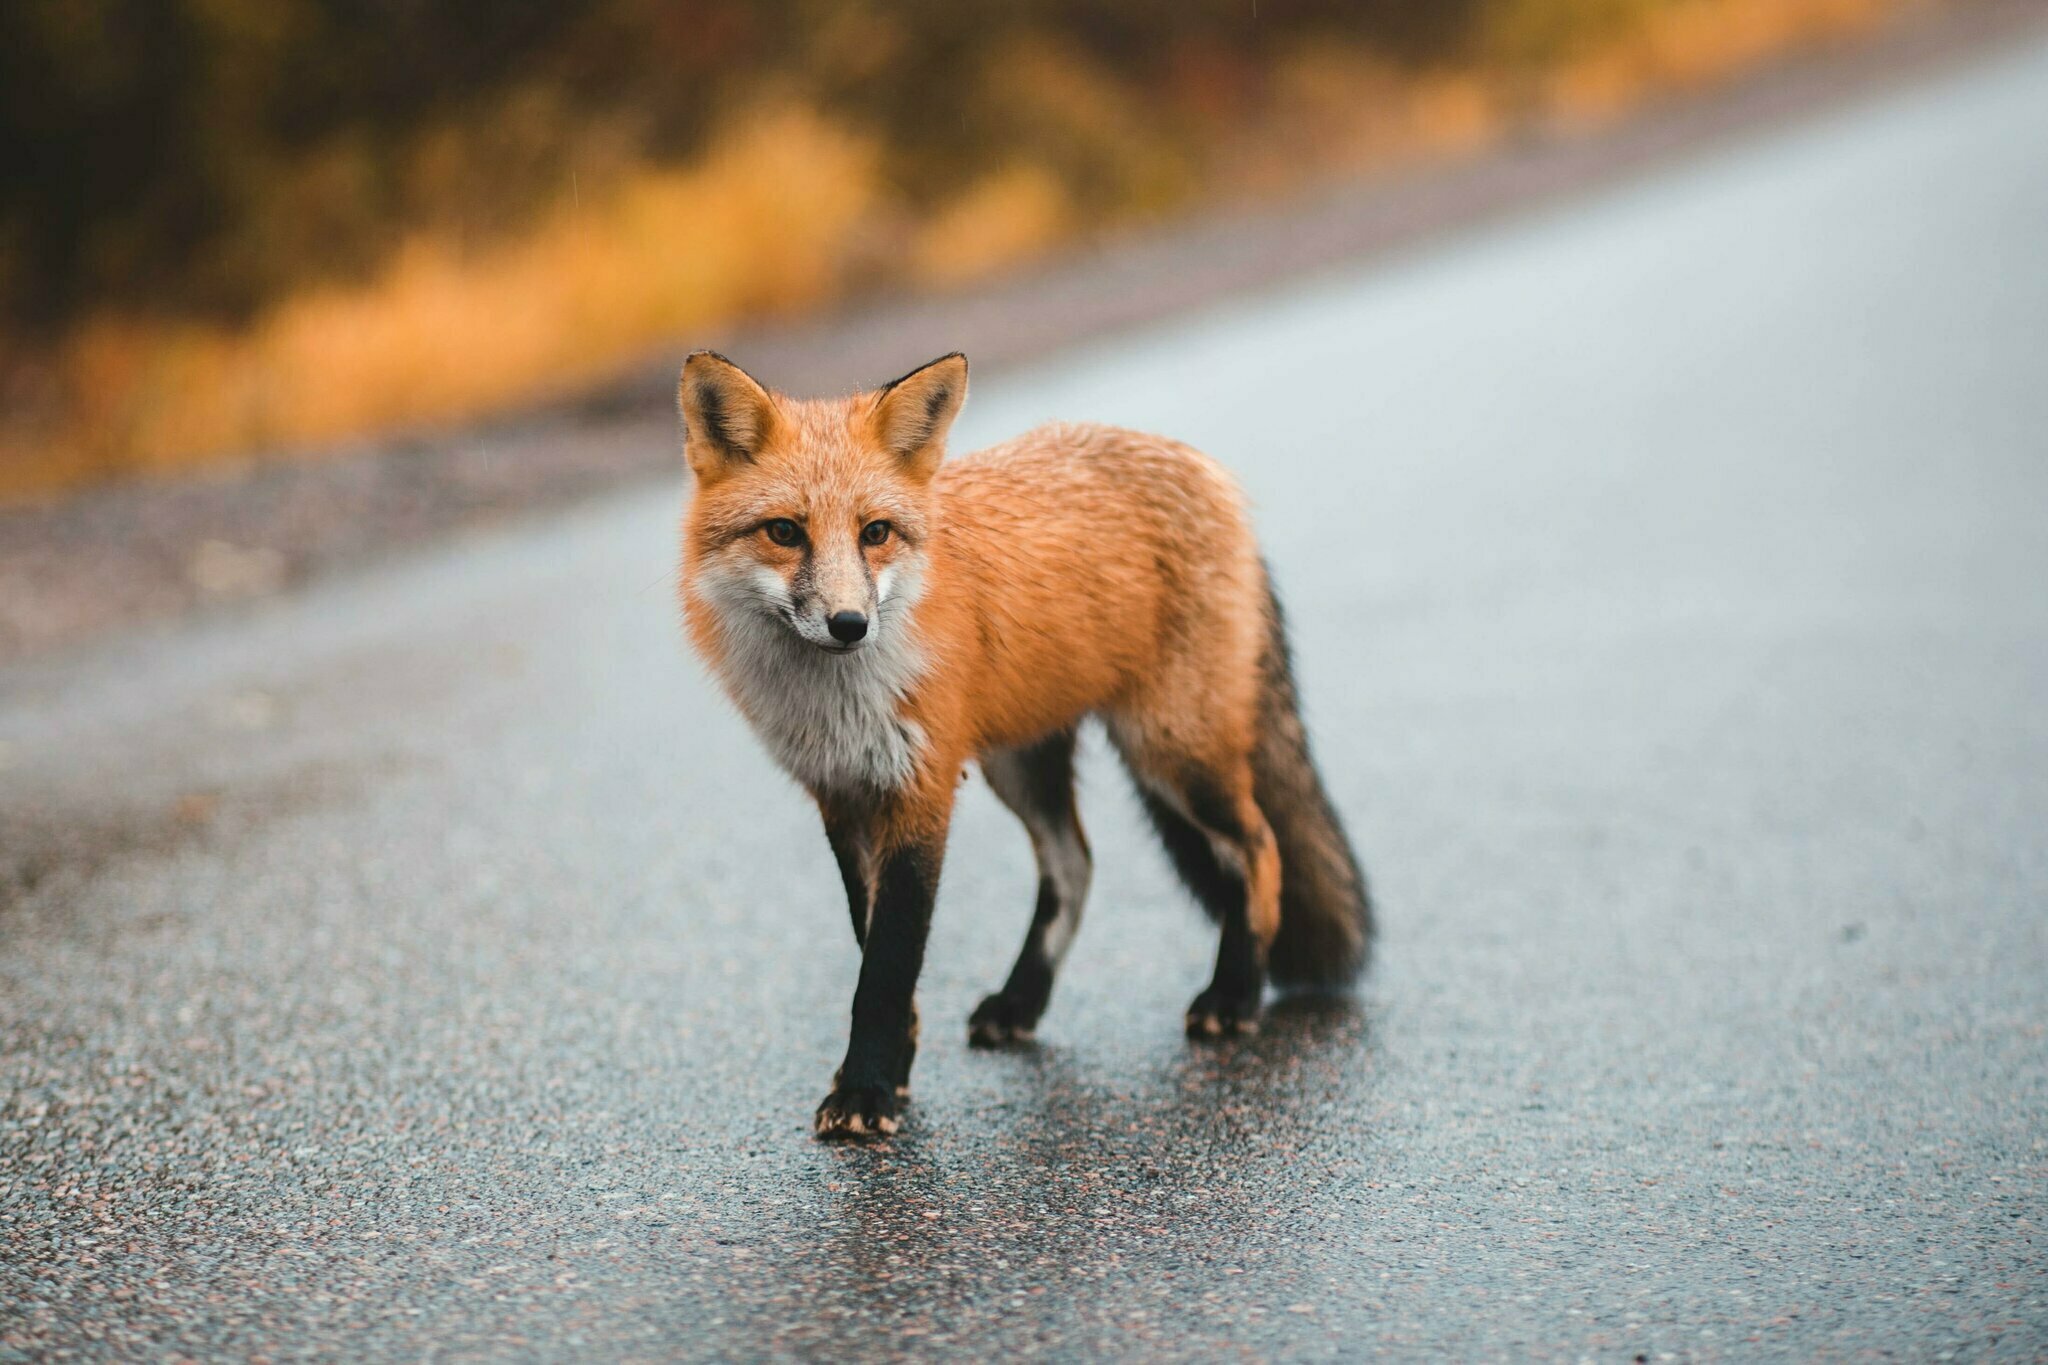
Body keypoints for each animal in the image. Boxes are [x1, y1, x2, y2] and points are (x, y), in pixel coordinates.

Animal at [676, 350, 1371, 1139]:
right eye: (785, 532)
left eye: (875, 532)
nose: (851, 624)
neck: (836, 703)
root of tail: (1202, 466)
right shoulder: (843, 795)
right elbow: (871, 944)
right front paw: (893, 1069)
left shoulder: (922, 789)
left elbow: (887, 964)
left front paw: (867, 1090)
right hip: (1022, 764)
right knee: (1076, 864)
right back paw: (1021, 1002)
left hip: (1171, 750)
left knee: (1258, 848)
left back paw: (1234, 995)